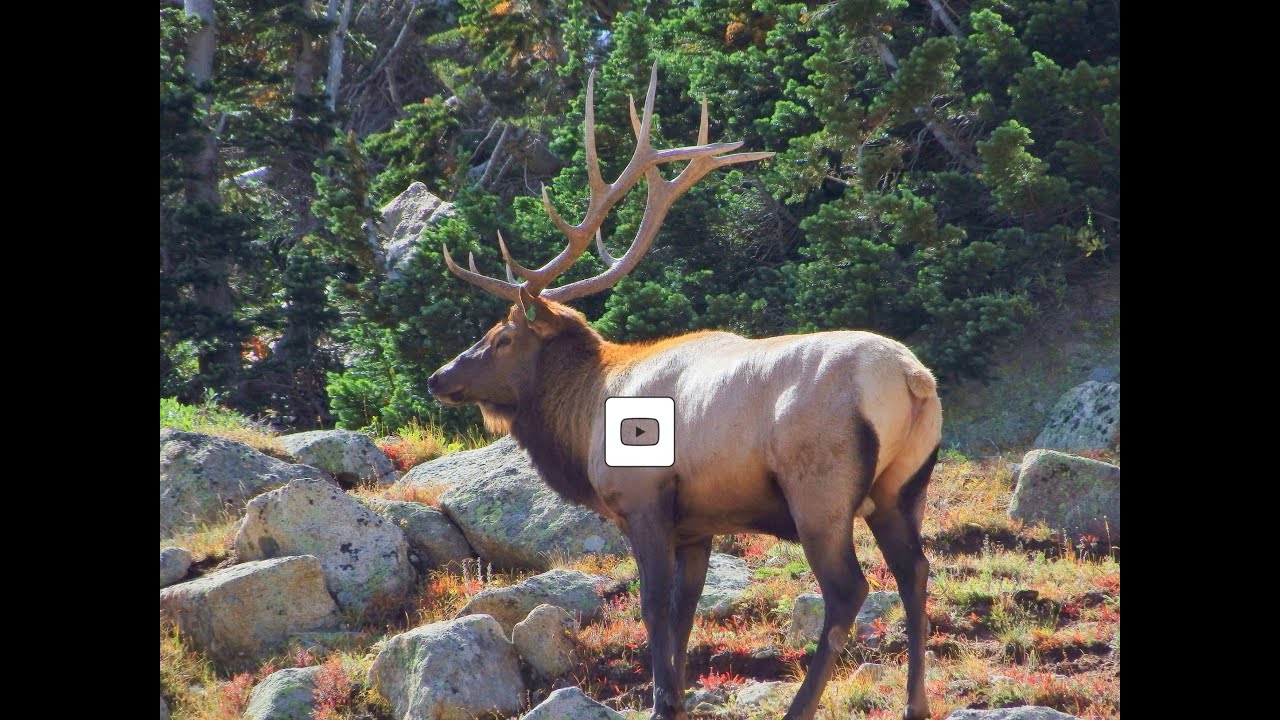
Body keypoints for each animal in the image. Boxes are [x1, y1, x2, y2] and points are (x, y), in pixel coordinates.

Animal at [426, 64, 942, 720]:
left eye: (501, 337)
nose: (440, 377)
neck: (583, 418)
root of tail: (912, 380)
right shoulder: (698, 522)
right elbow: (686, 610)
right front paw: (674, 693)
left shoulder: (643, 498)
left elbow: (653, 605)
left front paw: (663, 700)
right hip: (903, 486)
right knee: (915, 572)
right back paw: (916, 704)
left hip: (820, 488)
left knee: (848, 590)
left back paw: (801, 706)